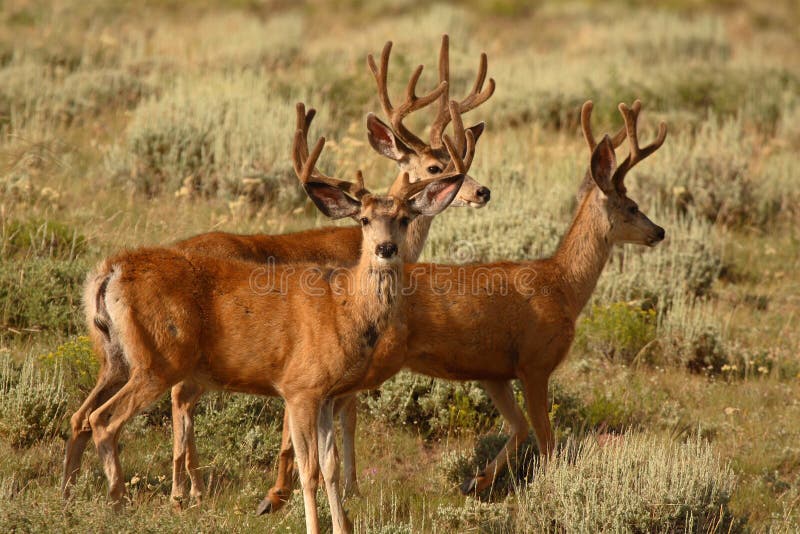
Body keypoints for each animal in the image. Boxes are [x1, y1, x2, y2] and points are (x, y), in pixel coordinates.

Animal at [66, 35, 493, 512]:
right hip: (162, 356)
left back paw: (77, 490)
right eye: (435, 168)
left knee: (81, 415)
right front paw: (317, 490)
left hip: (113, 354)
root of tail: (109, 271)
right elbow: (342, 419)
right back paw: (166, 491)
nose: (481, 191)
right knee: (142, 410)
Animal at [260, 99, 667, 510]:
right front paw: (551, 491)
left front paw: (477, 481)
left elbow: (519, 427)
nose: (659, 231)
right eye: (632, 206)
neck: (562, 284)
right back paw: (281, 493)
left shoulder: (494, 372)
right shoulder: (535, 363)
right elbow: (547, 441)